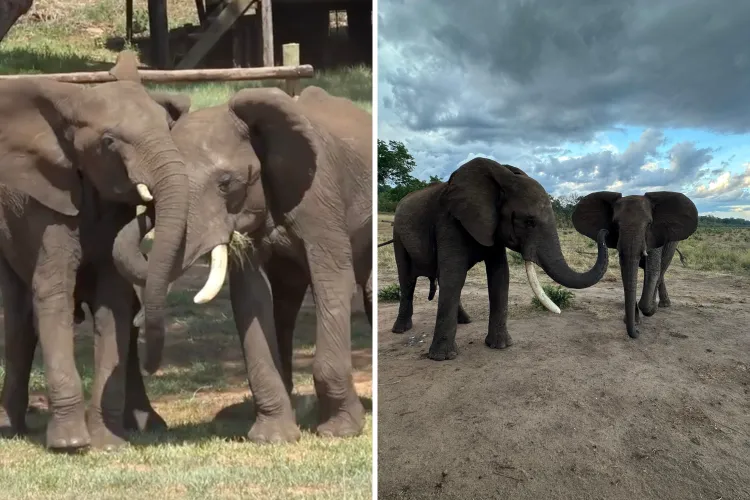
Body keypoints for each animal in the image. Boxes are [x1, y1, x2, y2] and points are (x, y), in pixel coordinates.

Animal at [0, 51, 190, 450]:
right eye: (109, 142)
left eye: (168, 128)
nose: (148, 204)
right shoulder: (47, 208)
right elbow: (52, 293)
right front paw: (71, 444)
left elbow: (114, 303)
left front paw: (106, 443)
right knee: (20, 319)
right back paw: (9, 427)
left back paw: (148, 424)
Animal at [110, 85, 372, 443]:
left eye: (226, 183)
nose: (151, 366)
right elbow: (252, 297)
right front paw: (272, 437)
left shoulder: (320, 196)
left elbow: (332, 283)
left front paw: (339, 431)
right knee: (285, 304)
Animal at [380, 157, 610, 361]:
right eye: (529, 222)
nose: (605, 231)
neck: (502, 178)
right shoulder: (449, 222)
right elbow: (454, 276)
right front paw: (441, 358)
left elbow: (499, 275)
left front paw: (500, 346)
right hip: (398, 235)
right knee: (407, 279)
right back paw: (401, 330)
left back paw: (465, 321)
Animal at [571, 191, 698, 338]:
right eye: (615, 225)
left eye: (649, 224)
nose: (637, 332)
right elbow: (626, 272)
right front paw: (633, 321)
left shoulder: (653, 238)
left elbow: (653, 271)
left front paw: (650, 309)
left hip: (672, 244)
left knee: (662, 268)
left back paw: (661, 305)